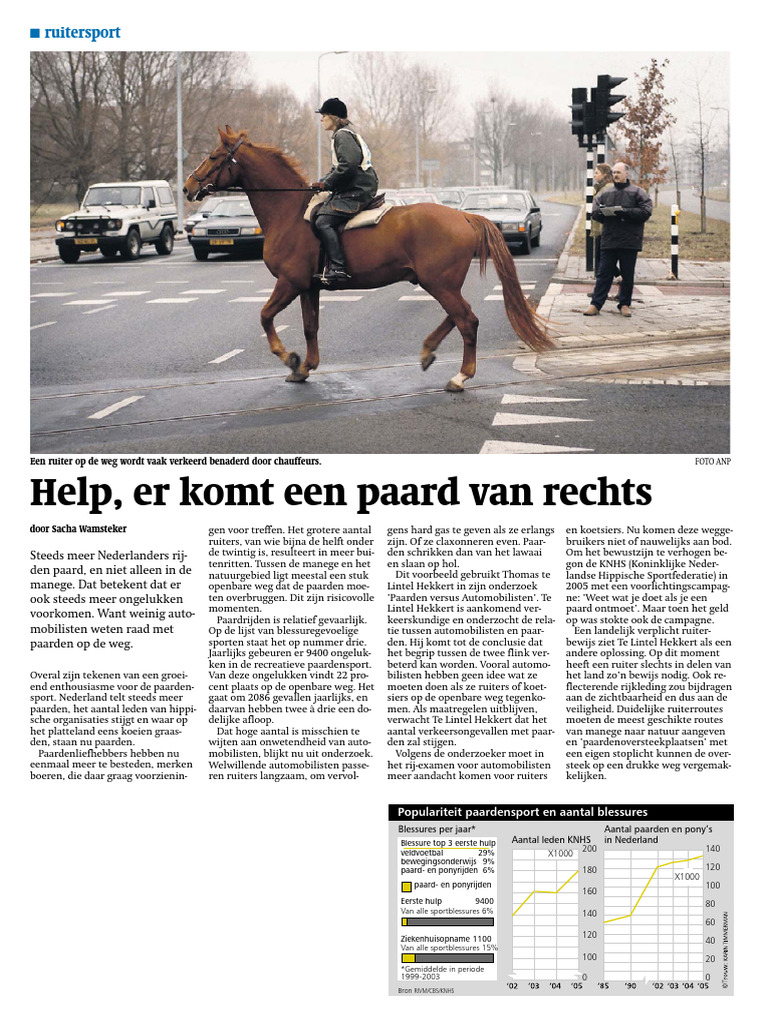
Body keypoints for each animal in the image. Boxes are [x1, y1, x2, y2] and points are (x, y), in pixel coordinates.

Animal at [183, 126, 553, 392]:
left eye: (213, 156)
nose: (187, 187)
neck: (288, 213)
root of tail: (464, 216)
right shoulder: (308, 287)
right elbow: (310, 326)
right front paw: (305, 367)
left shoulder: (289, 283)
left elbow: (264, 316)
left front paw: (289, 358)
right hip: (440, 282)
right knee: (458, 316)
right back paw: (429, 350)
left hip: (439, 283)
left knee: (467, 320)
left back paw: (460, 376)